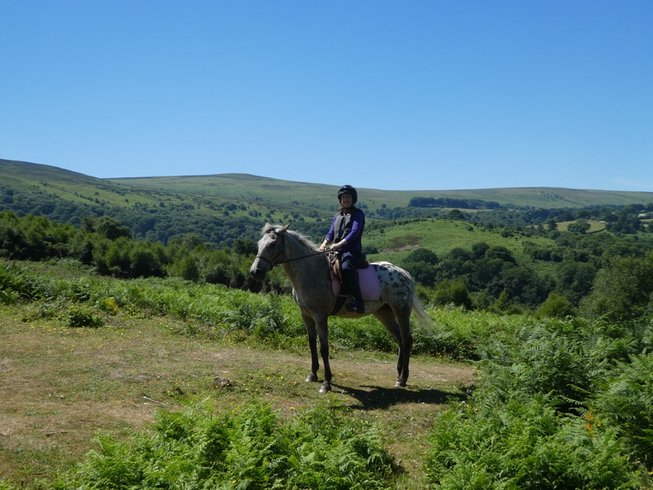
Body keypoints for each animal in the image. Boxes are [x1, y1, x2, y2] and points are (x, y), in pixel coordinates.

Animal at [249, 223, 431, 394]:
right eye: (259, 244)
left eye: (273, 244)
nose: (254, 272)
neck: (310, 271)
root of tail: (405, 274)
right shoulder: (306, 315)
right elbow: (311, 344)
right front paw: (312, 374)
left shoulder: (320, 316)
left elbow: (323, 348)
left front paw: (326, 382)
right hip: (384, 313)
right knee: (400, 339)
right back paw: (398, 374)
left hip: (401, 311)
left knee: (407, 340)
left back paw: (402, 379)